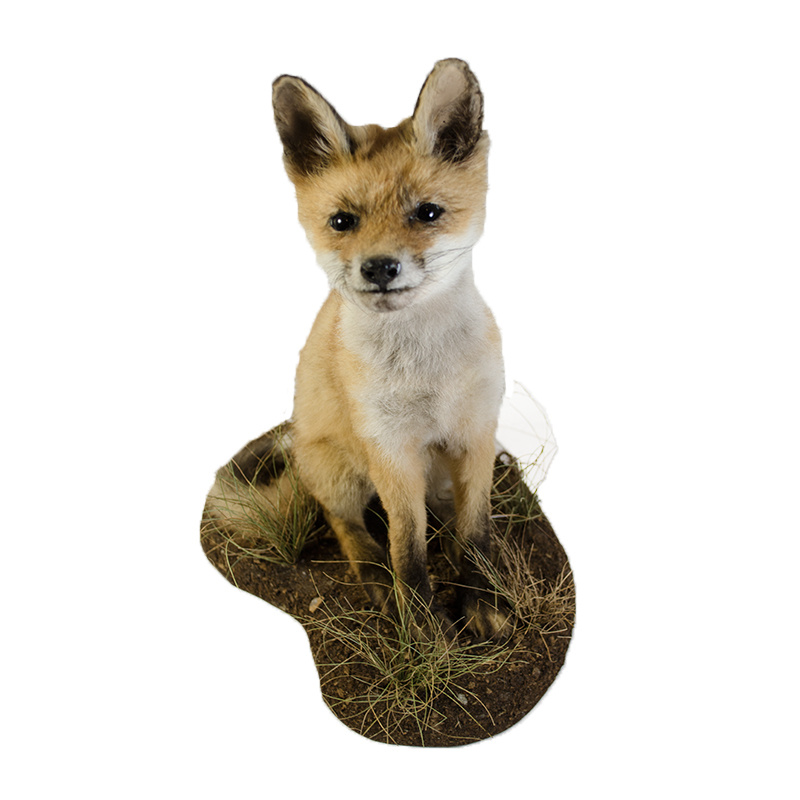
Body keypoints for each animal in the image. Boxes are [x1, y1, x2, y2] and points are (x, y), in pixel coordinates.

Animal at [210, 59, 508, 639]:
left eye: (427, 213)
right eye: (343, 221)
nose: (380, 267)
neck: (426, 376)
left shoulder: (478, 433)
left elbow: (476, 533)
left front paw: (480, 604)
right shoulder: (389, 449)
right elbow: (407, 548)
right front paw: (424, 633)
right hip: (342, 472)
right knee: (342, 521)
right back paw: (372, 573)